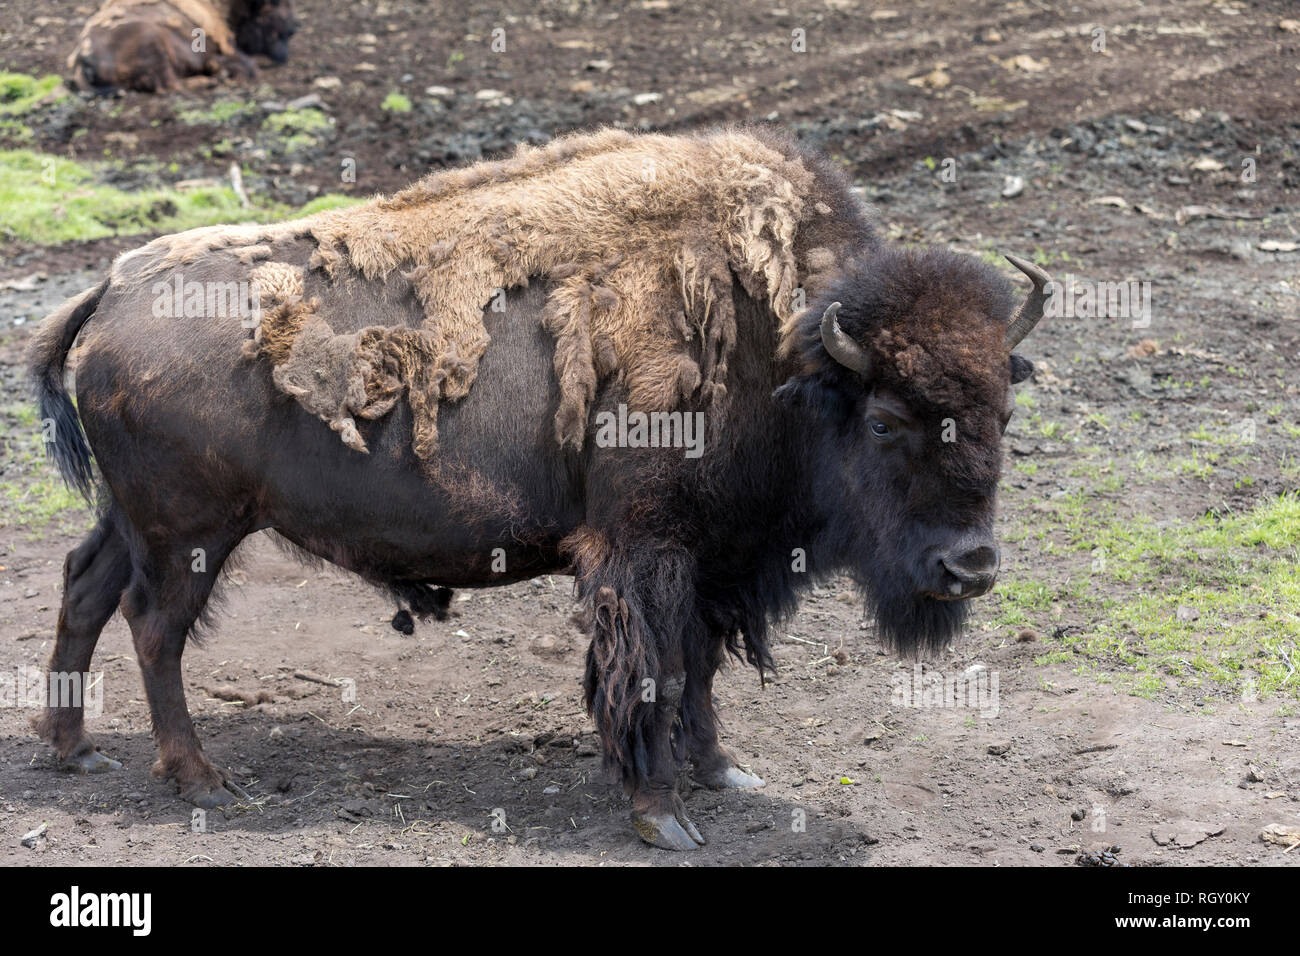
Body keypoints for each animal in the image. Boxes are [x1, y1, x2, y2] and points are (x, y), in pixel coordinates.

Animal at [28, 128, 1049, 850]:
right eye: (883, 421)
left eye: (1004, 408)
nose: (969, 569)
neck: (784, 350)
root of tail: (112, 288)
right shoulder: (644, 550)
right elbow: (652, 669)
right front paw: (662, 816)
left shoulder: (712, 560)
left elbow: (700, 666)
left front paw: (723, 772)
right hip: (191, 535)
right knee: (153, 629)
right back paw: (200, 778)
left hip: (131, 520)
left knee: (84, 588)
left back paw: (74, 751)